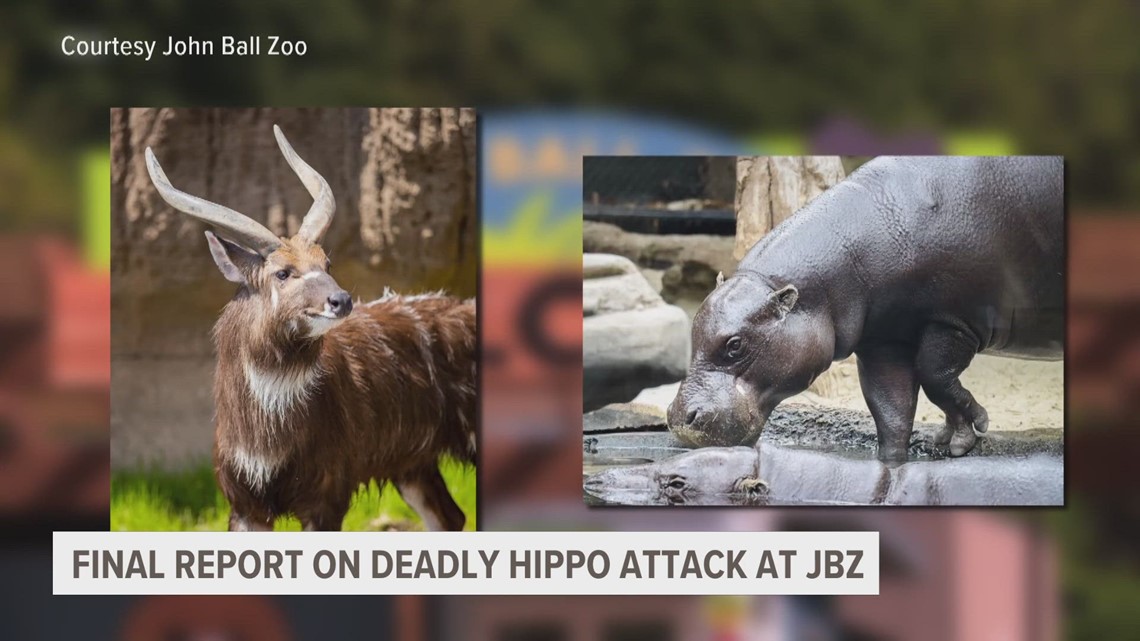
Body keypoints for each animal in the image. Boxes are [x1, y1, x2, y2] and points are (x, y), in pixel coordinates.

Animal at [145, 125, 476, 531]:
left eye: (327, 263)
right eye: (283, 272)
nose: (341, 300)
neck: (267, 436)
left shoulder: (326, 497)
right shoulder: (245, 505)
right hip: (413, 467)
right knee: (451, 516)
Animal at [667, 156, 1064, 462]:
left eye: (735, 345)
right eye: (693, 330)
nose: (678, 418)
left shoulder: (953, 321)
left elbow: (935, 377)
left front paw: (972, 431)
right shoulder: (883, 342)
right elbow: (890, 409)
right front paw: (905, 459)